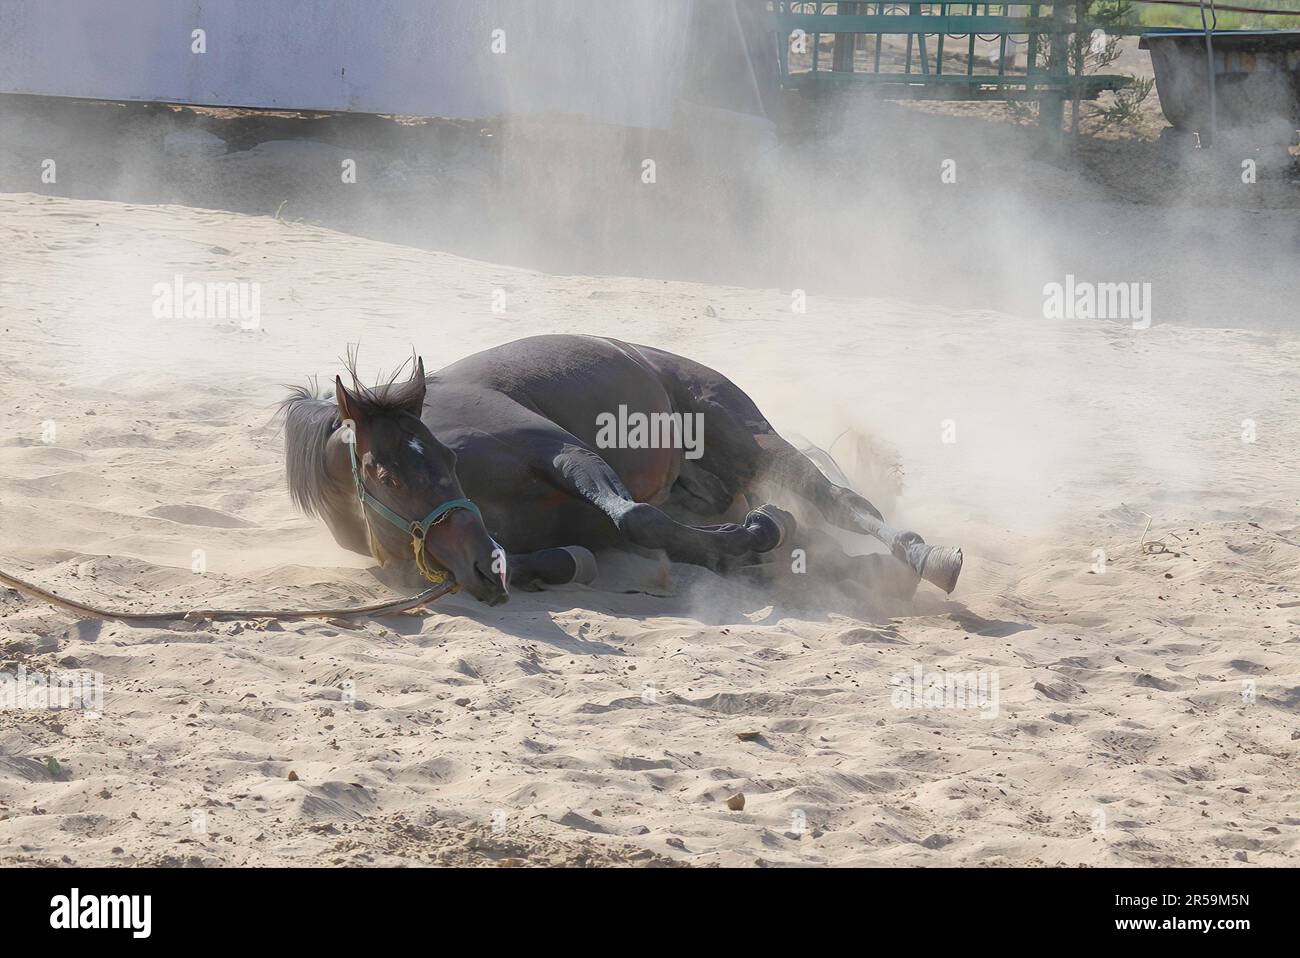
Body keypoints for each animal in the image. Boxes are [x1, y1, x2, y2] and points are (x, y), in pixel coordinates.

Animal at [280, 334, 962, 606]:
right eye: (387, 475)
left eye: (449, 457)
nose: (475, 561)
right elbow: (564, 550)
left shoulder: (566, 453)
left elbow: (636, 518)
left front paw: (761, 532)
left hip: (747, 435)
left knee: (839, 501)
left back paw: (926, 556)